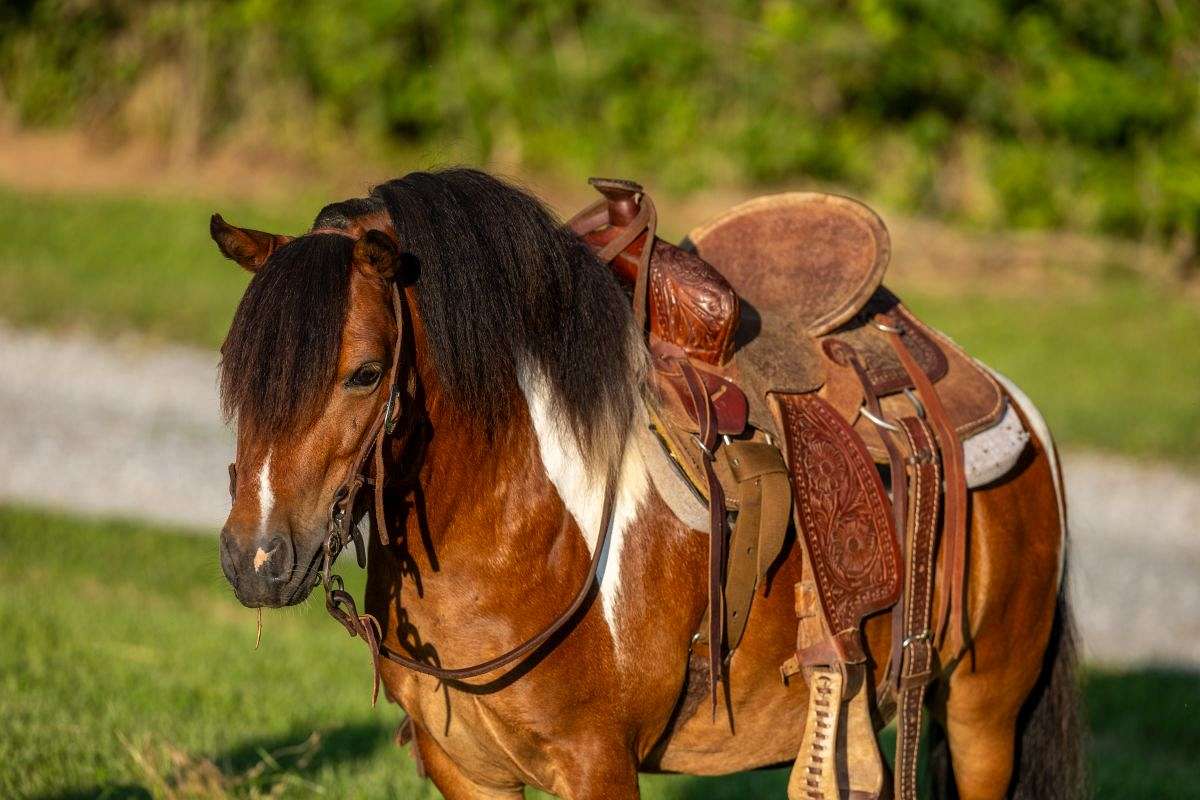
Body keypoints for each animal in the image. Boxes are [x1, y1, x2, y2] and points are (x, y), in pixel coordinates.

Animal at [211, 168, 1083, 799]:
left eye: (364, 373)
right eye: (235, 368)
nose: (258, 561)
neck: (526, 530)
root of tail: (1015, 405)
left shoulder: (599, 763)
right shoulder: (465, 768)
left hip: (983, 714)